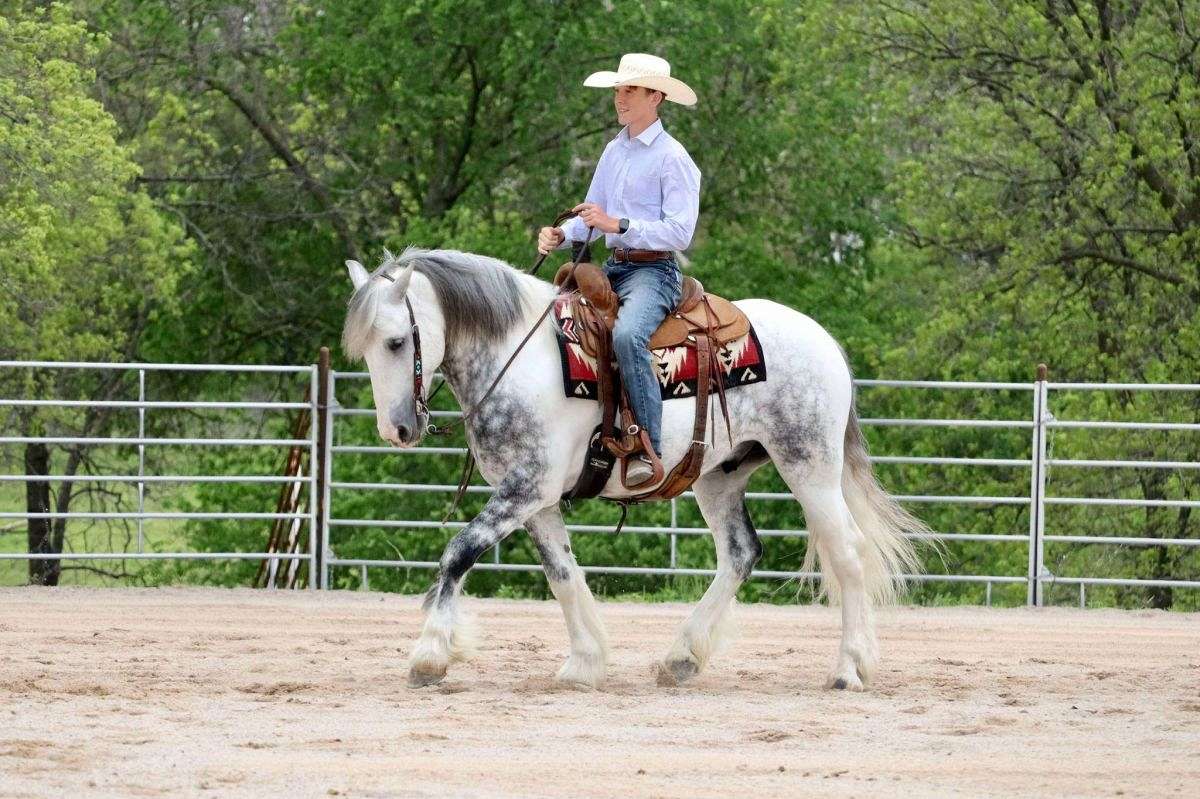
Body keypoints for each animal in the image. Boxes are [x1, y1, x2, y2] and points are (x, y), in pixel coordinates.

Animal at [341, 247, 925, 691]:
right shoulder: (536, 499)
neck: (518, 359)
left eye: (397, 341)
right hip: (720, 475)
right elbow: (562, 573)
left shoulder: (523, 490)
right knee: (740, 553)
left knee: (847, 552)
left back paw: (849, 668)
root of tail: (824, 342)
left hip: (809, 465)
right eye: (366, 349)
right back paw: (681, 658)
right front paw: (584, 663)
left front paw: (430, 655)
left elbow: (458, 553)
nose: (397, 429)